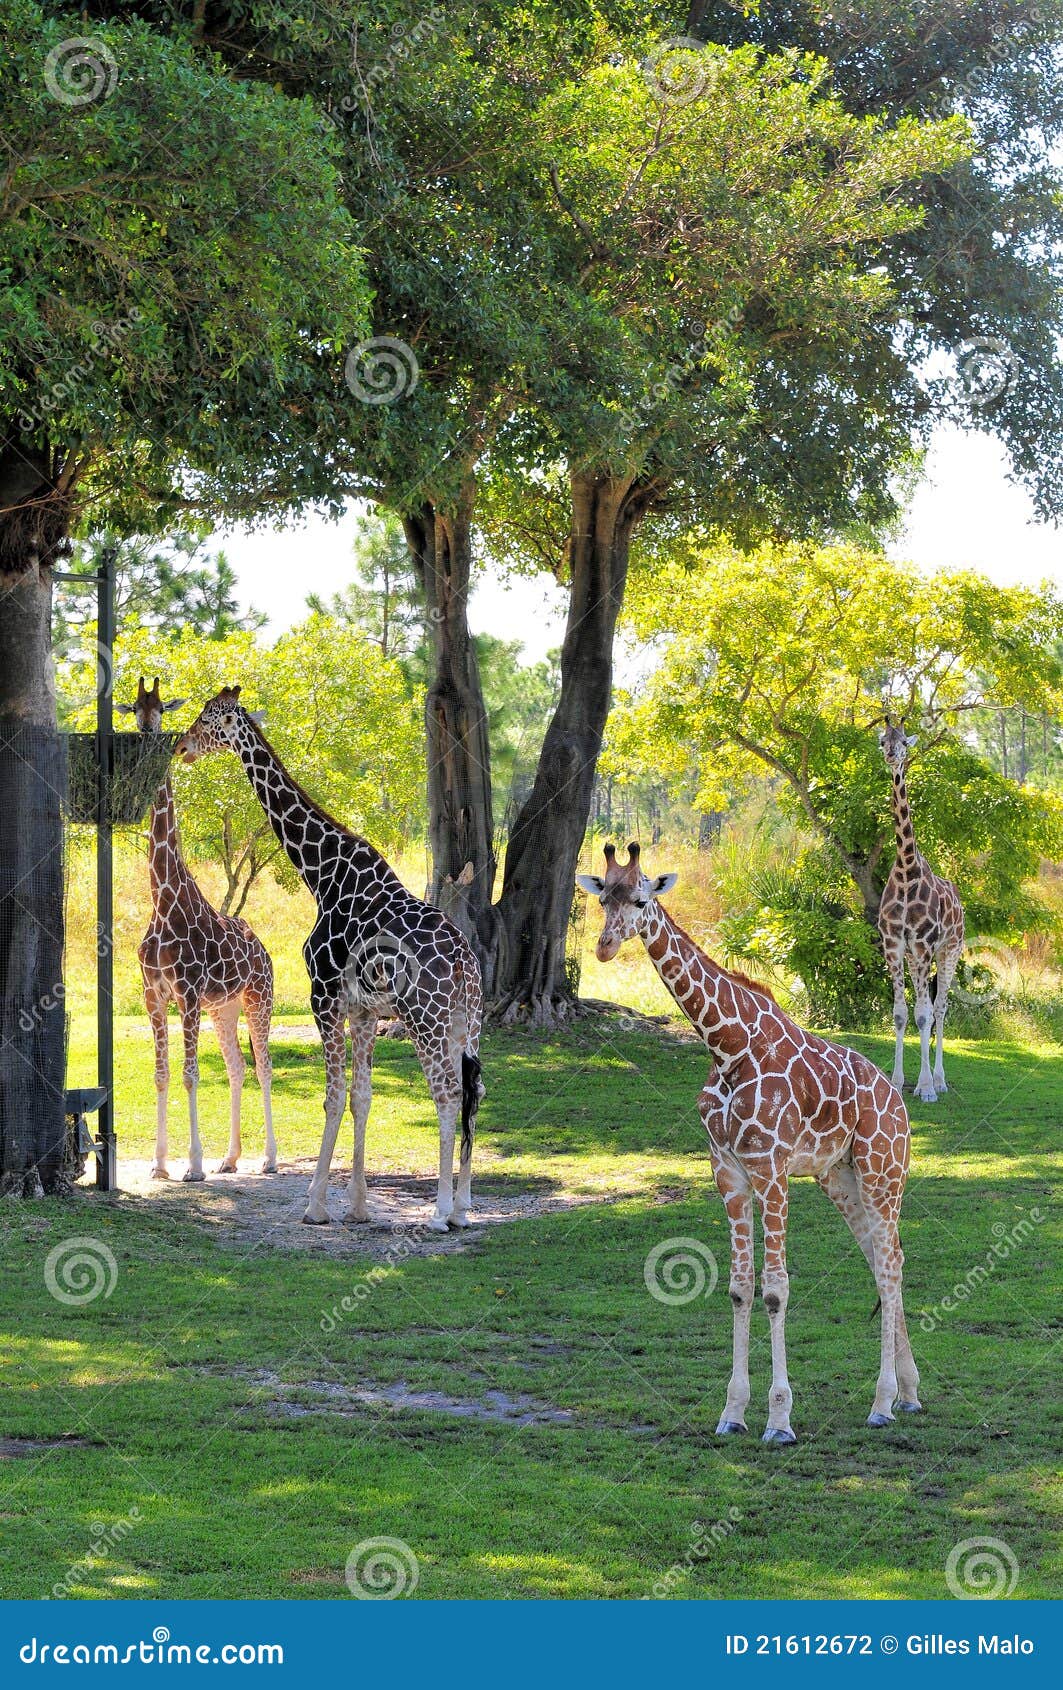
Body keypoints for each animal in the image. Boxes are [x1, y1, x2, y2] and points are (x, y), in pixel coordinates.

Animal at [118, 677, 277, 1182]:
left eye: (161, 710)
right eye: (135, 709)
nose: (153, 735)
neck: (162, 899)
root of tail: (264, 950)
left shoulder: (186, 995)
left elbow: (190, 1074)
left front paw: (192, 1166)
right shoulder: (154, 995)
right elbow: (162, 1073)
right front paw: (159, 1164)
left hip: (258, 999)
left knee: (263, 1066)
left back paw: (268, 1159)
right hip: (224, 1008)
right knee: (237, 1068)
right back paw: (230, 1158)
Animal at [174, 686, 484, 1231]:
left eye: (210, 718)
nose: (183, 745)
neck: (322, 876)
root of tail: (467, 967)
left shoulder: (323, 997)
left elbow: (332, 1096)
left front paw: (316, 1203)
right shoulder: (362, 1011)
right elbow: (361, 1097)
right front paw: (358, 1206)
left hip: (426, 1020)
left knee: (448, 1095)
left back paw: (440, 1211)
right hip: (466, 1023)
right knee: (473, 1095)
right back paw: (464, 1208)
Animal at [577, 842, 920, 1443]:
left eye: (641, 898)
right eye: (603, 898)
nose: (605, 946)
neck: (727, 1046)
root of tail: (896, 1100)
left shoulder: (772, 1168)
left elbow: (776, 1288)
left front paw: (779, 1419)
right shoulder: (729, 1170)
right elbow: (739, 1287)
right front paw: (733, 1413)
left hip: (883, 1171)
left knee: (888, 1265)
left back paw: (882, 1402)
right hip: (842, 1177)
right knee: (885, 1261)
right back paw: (907, 1392)